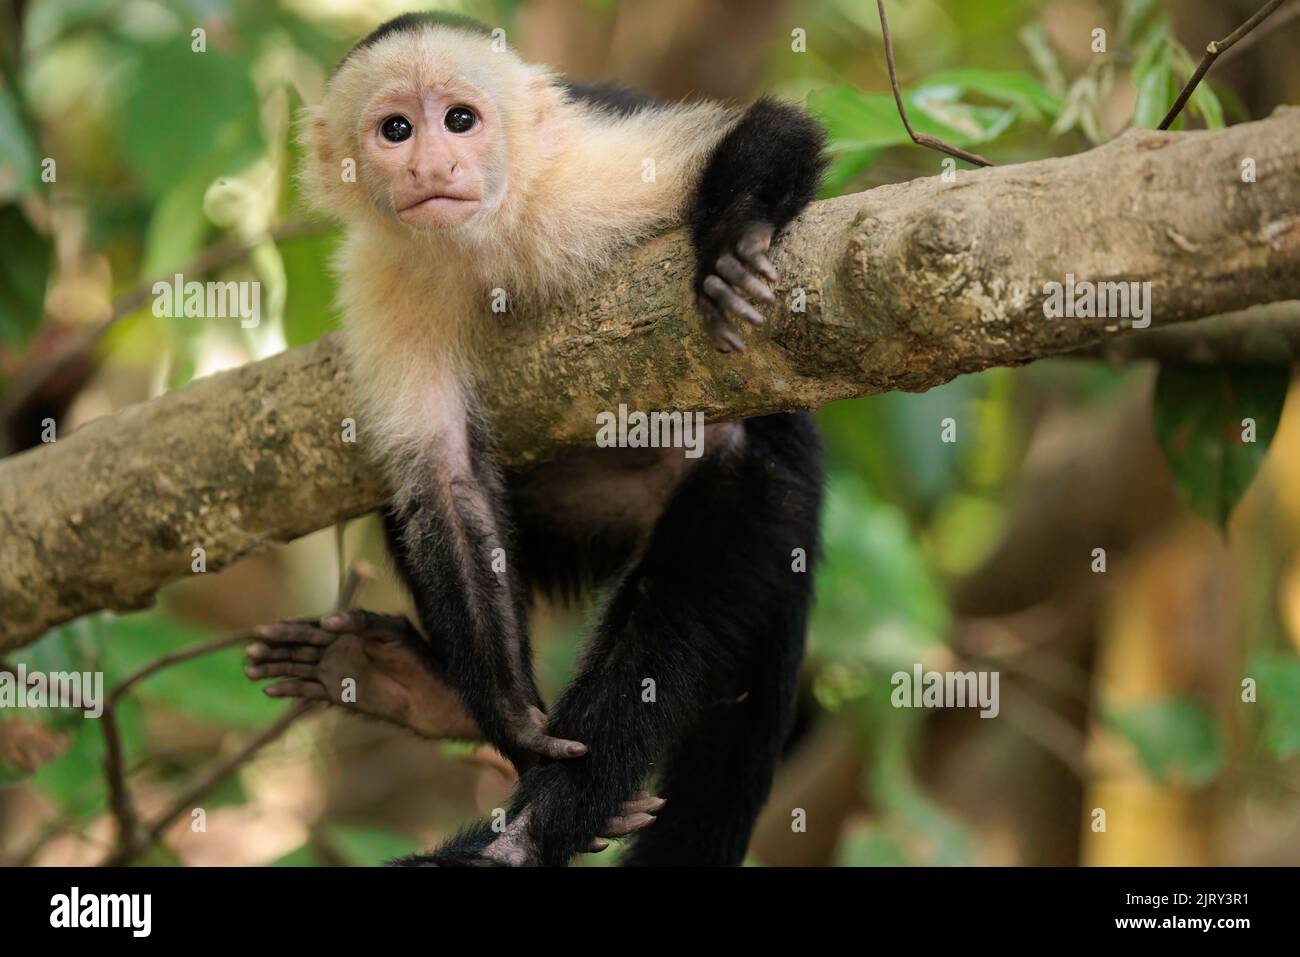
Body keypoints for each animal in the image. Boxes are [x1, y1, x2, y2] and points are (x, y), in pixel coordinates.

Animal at [244, 13, 826, 868]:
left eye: (460, 119)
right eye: (396, 130)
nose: (433, 164)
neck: (484, 239)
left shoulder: (582, 178)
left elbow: (776, 128)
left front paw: (734, 239)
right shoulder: (385, 279)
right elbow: (445, 478)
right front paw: (511, 717)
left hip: (766, 500)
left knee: (699, 549)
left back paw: (534, 827)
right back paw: (419, 691)